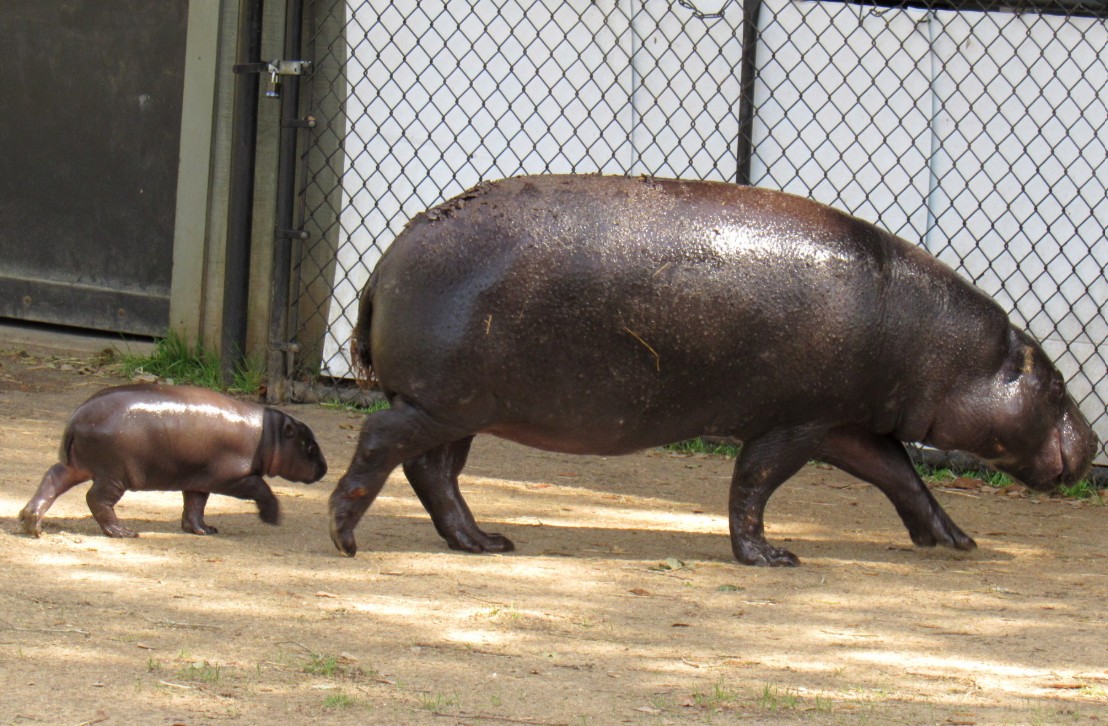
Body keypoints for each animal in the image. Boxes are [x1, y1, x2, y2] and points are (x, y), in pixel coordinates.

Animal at [20, 384, 327, 538]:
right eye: (311, 447)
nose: (325, 469)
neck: (270, 434)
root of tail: (76, 418)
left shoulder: (200, 478)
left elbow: (195, 505)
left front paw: (204, 530)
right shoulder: (233, 478)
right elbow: (262, 489)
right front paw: (272, 517)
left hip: (76, 466)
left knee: (51, 480)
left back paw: (31, 524)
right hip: (113, 474)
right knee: (96, 499)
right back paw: (124, 532)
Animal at [329, 174, 1096, 566]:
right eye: (1058, 383)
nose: (1091, 442)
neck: (946, 351)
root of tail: (388, 255)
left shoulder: (844, 422)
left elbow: (901, 476)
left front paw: (957, 540)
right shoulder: (796, 421)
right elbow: (754, 485)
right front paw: (772, 558)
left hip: (461, 406)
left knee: (434, 471)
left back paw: (484, 542)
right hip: (442, 401)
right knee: (381, 442)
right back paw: (346, 537)